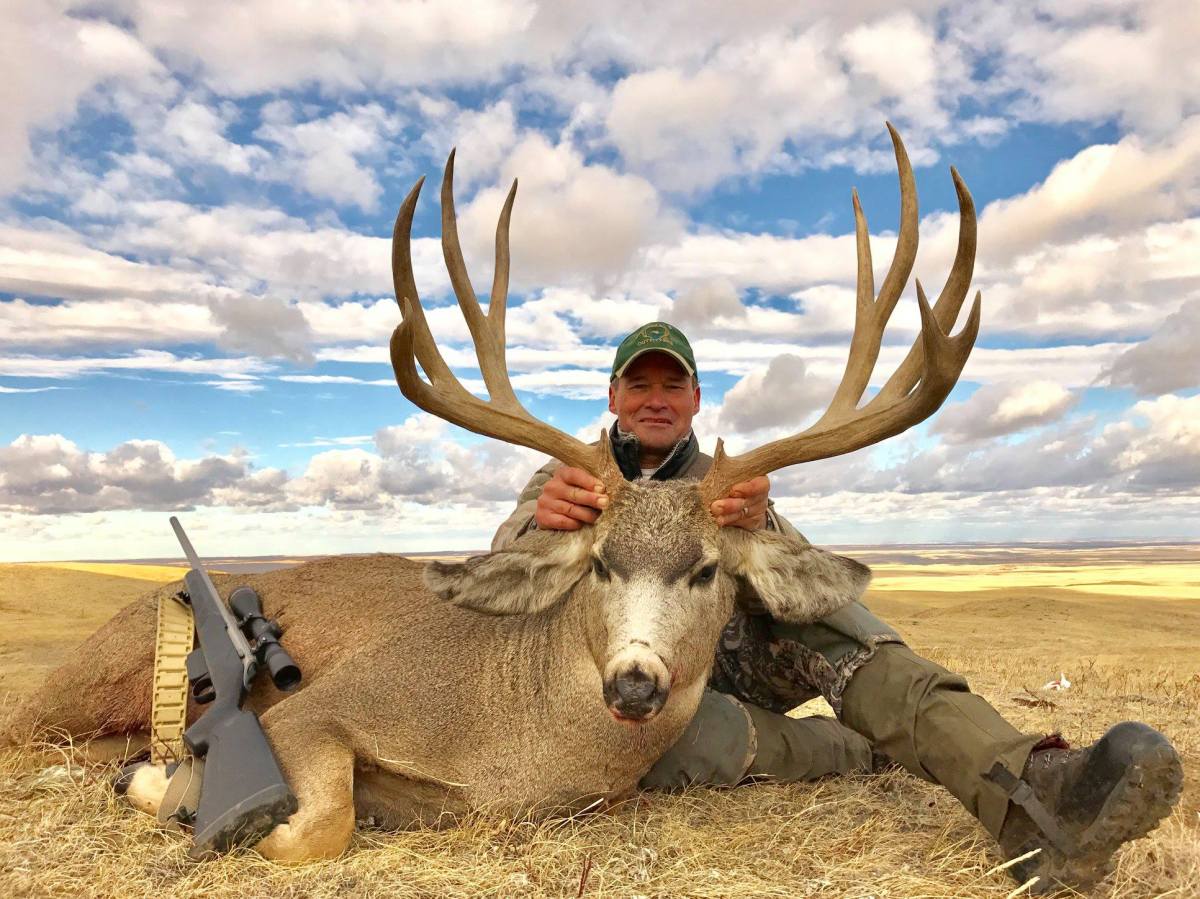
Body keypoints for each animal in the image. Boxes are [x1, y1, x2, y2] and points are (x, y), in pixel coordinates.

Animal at [1, 124, 981, 862]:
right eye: (598, 564)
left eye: (709, 570)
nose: (634, 682)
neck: (513, 739)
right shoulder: (322, 707)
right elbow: (314, 824)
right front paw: (170, 786)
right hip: (92, 677)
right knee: (31, 735)